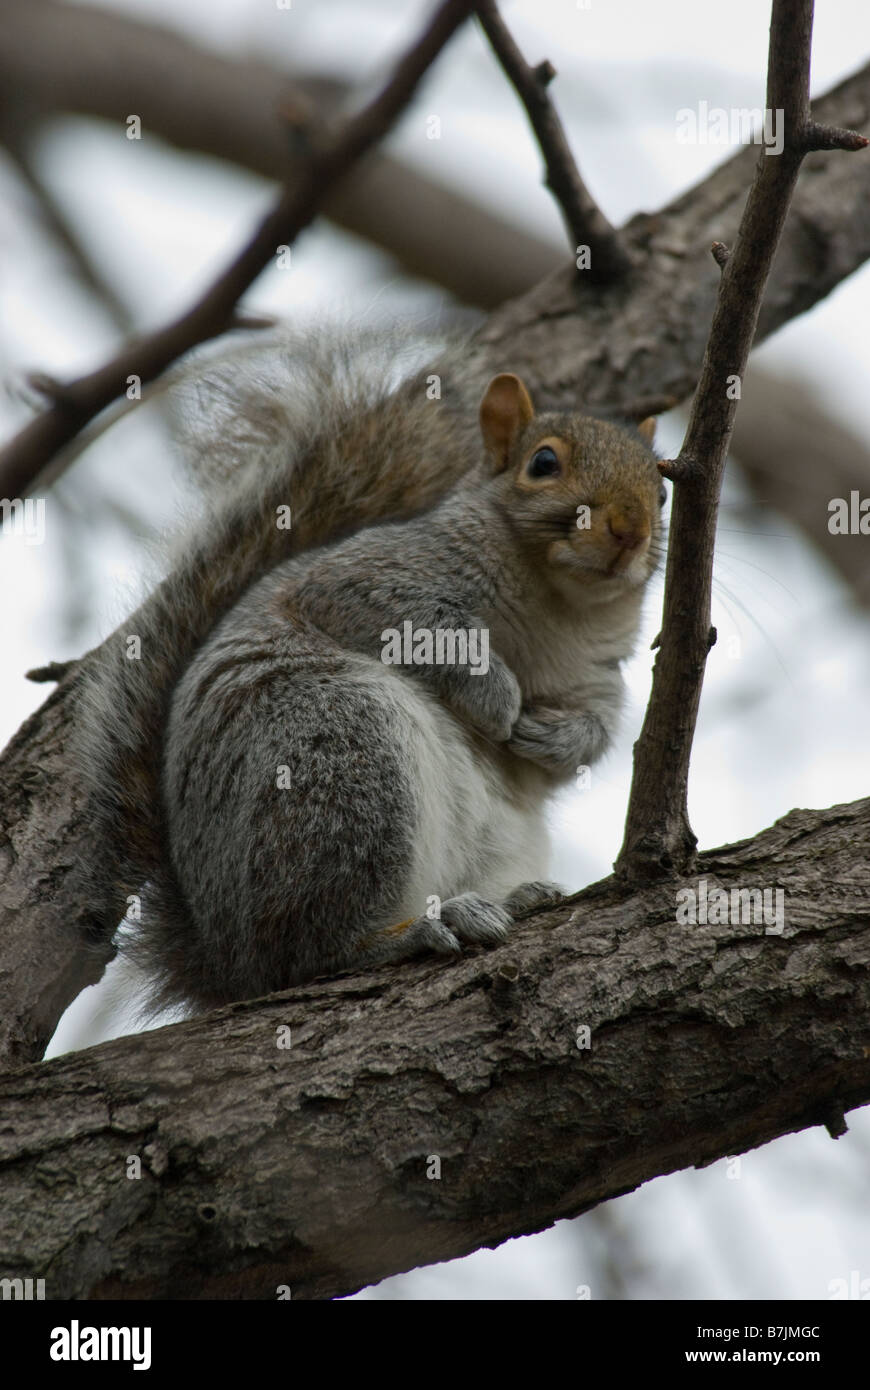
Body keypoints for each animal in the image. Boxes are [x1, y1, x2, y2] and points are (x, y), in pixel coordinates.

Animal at [75, 329, 665, 1013]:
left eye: (664, 491)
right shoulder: (370, 582)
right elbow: (429, 632)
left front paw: (552, 737)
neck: (561, 610)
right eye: (543, 464)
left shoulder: (599, 674)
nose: (629, 529)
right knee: (308, 953)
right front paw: (498, 701)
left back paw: (511, 898)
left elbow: (596, 728)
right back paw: (410, 932)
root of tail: (227, 963)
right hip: (343, 756)